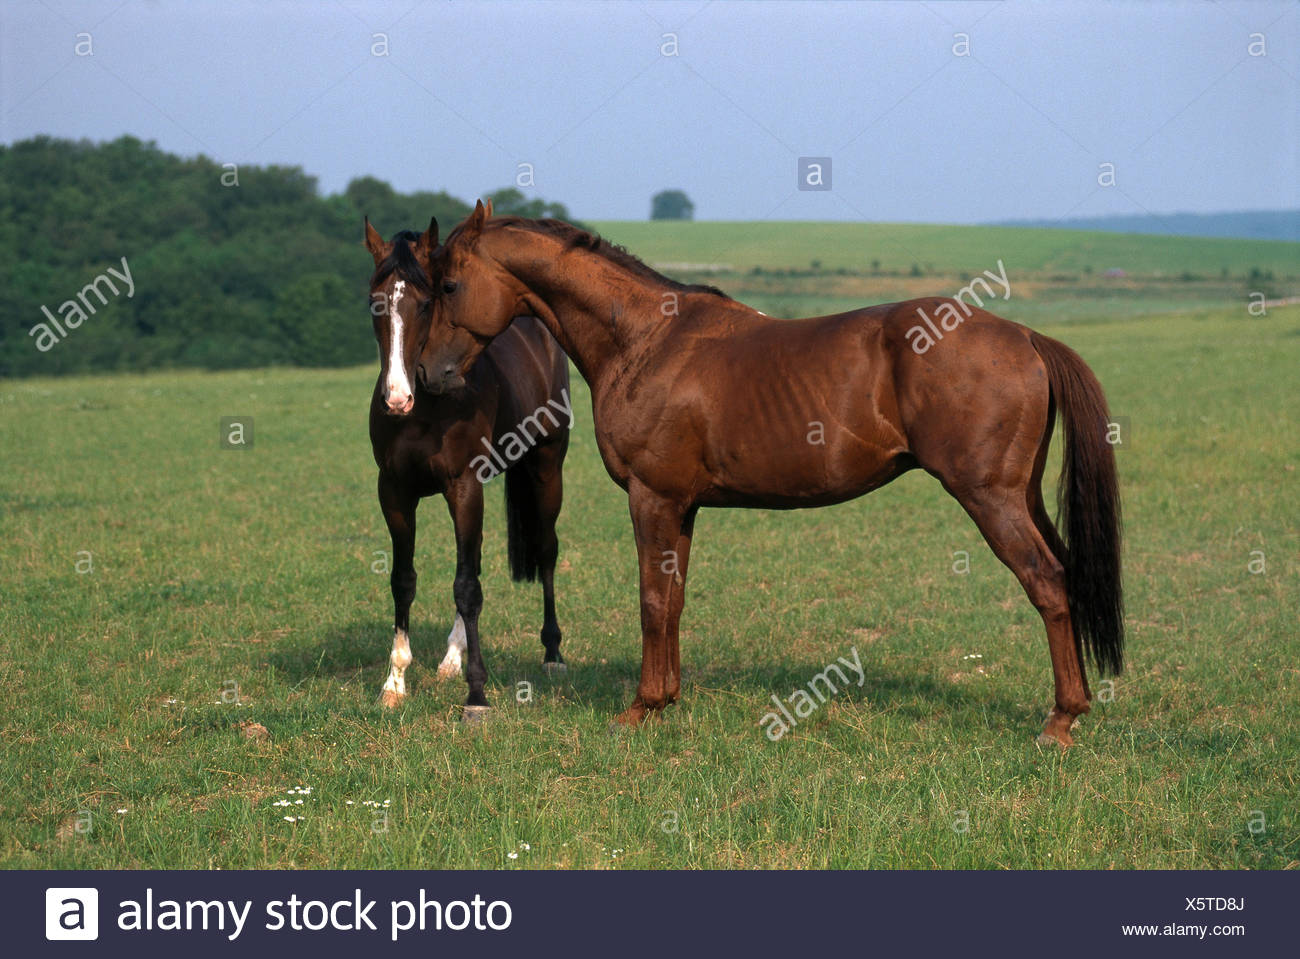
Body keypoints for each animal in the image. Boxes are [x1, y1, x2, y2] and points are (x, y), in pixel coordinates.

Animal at [364, 215, 571, 717]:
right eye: (376, 302)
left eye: (425, 303)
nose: (397, 398)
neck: (426, 407)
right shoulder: (394, 493)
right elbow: (404, 580)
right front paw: (395, 682)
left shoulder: (463, 486)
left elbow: (467, 588)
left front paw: (476, 693)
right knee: (472, 561)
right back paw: (451, 658)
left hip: (546, 468)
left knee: (546, 550)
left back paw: (552, 652)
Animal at [417, 201, 1123, 746]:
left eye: (448, 287)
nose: (427, 375)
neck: (644, 340)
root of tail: (1026, 337)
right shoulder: (684, 506)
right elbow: (674, 599)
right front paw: (667, 698)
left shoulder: (652, 499)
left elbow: (651, 599)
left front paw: (639, 708)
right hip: (1023, 496)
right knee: (1066, 575)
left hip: (991, 499)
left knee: (1047, 582)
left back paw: (1060, 721)